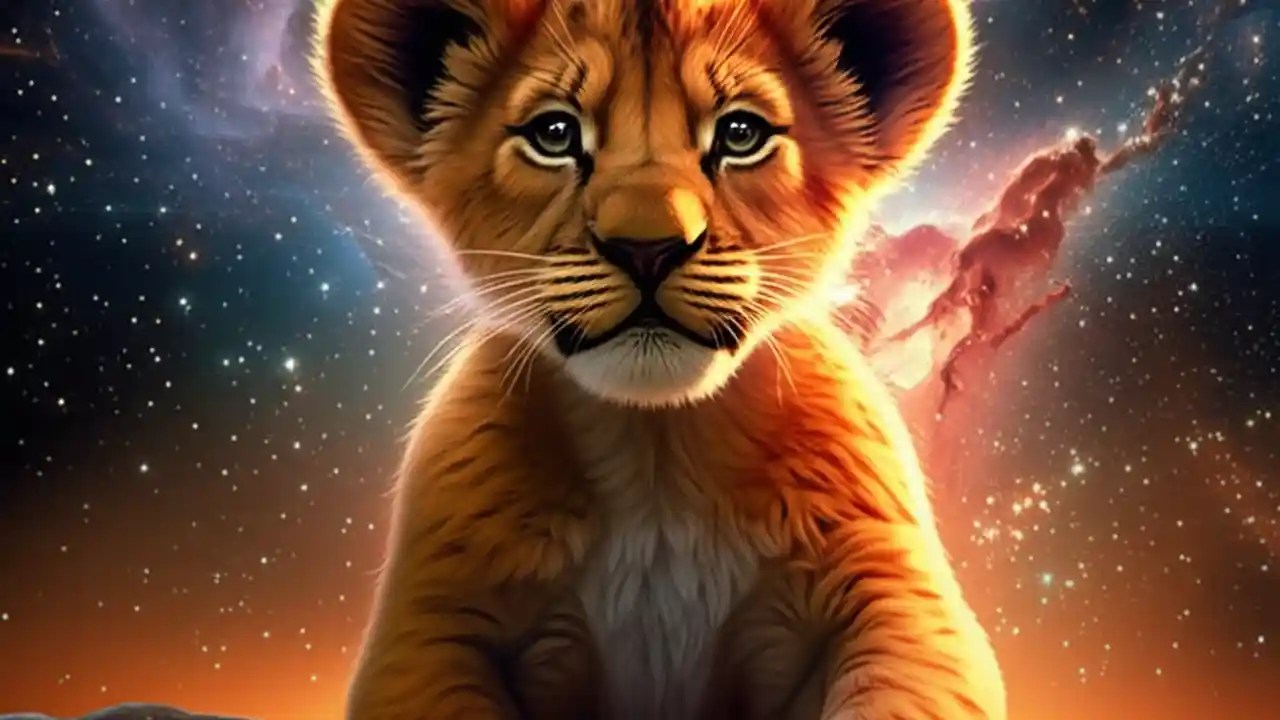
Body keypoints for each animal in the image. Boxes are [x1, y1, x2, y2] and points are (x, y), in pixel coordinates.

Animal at [313, 0, 1005, 718]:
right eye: (554, 134)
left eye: (741, 133)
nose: (647, 248)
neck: (657, 452)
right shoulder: (432, 623)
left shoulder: (895, 594)